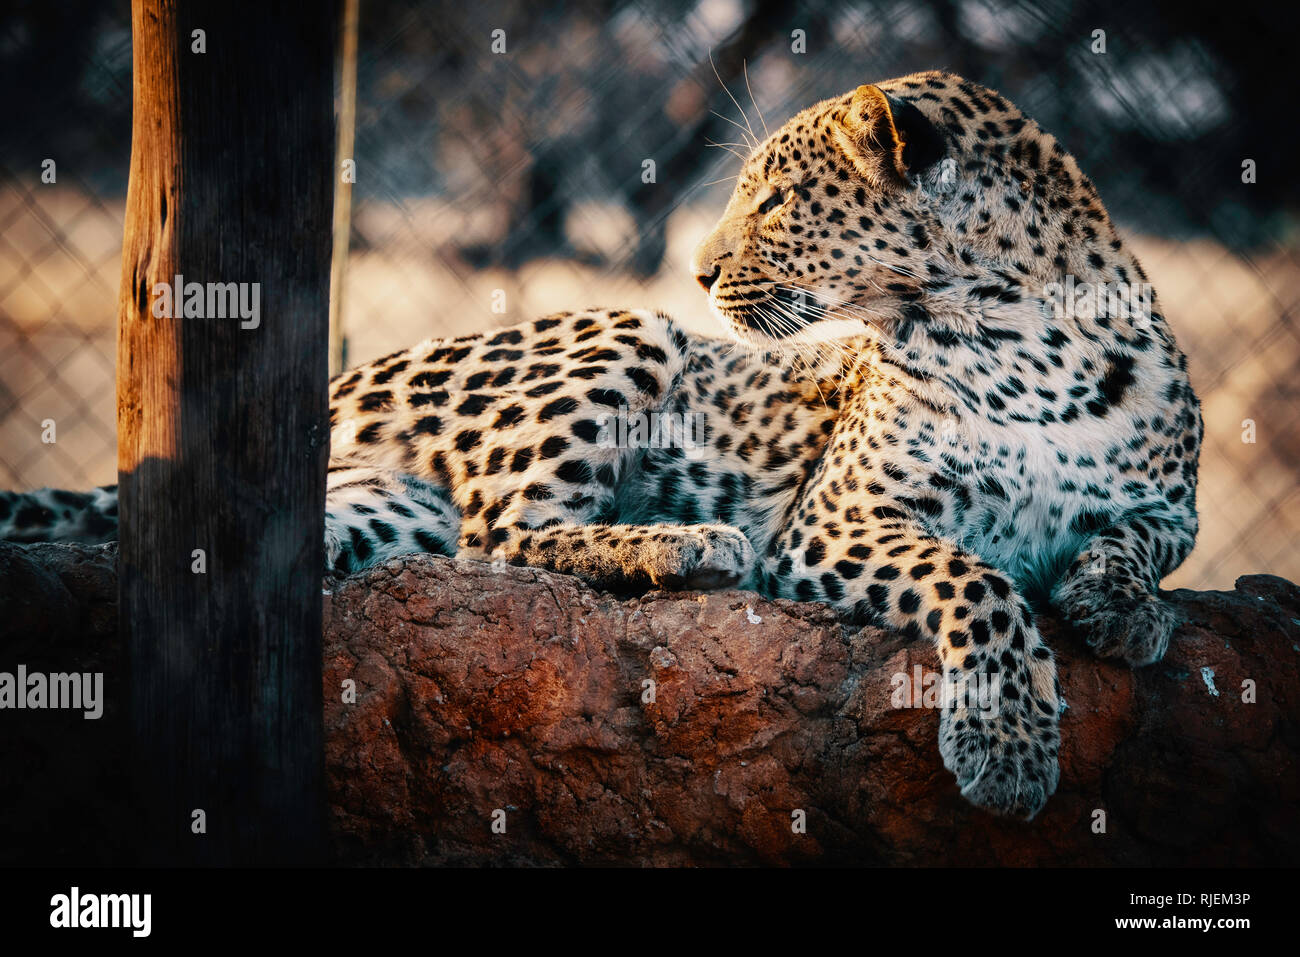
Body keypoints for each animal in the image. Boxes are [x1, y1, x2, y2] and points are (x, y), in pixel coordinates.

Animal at [1, 71, 1201, 820]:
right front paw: (1008, 751)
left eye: (778, 199)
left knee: (436, 542)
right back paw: (678, 544)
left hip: (379, 508)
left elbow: (1143, 544)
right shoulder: (839, 518)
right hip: (625, 334)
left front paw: (1120, 605)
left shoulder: (1170, 508)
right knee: (505, 535)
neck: (1019, 339)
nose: (701, 272)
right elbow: (979, 583)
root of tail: (341, 381)